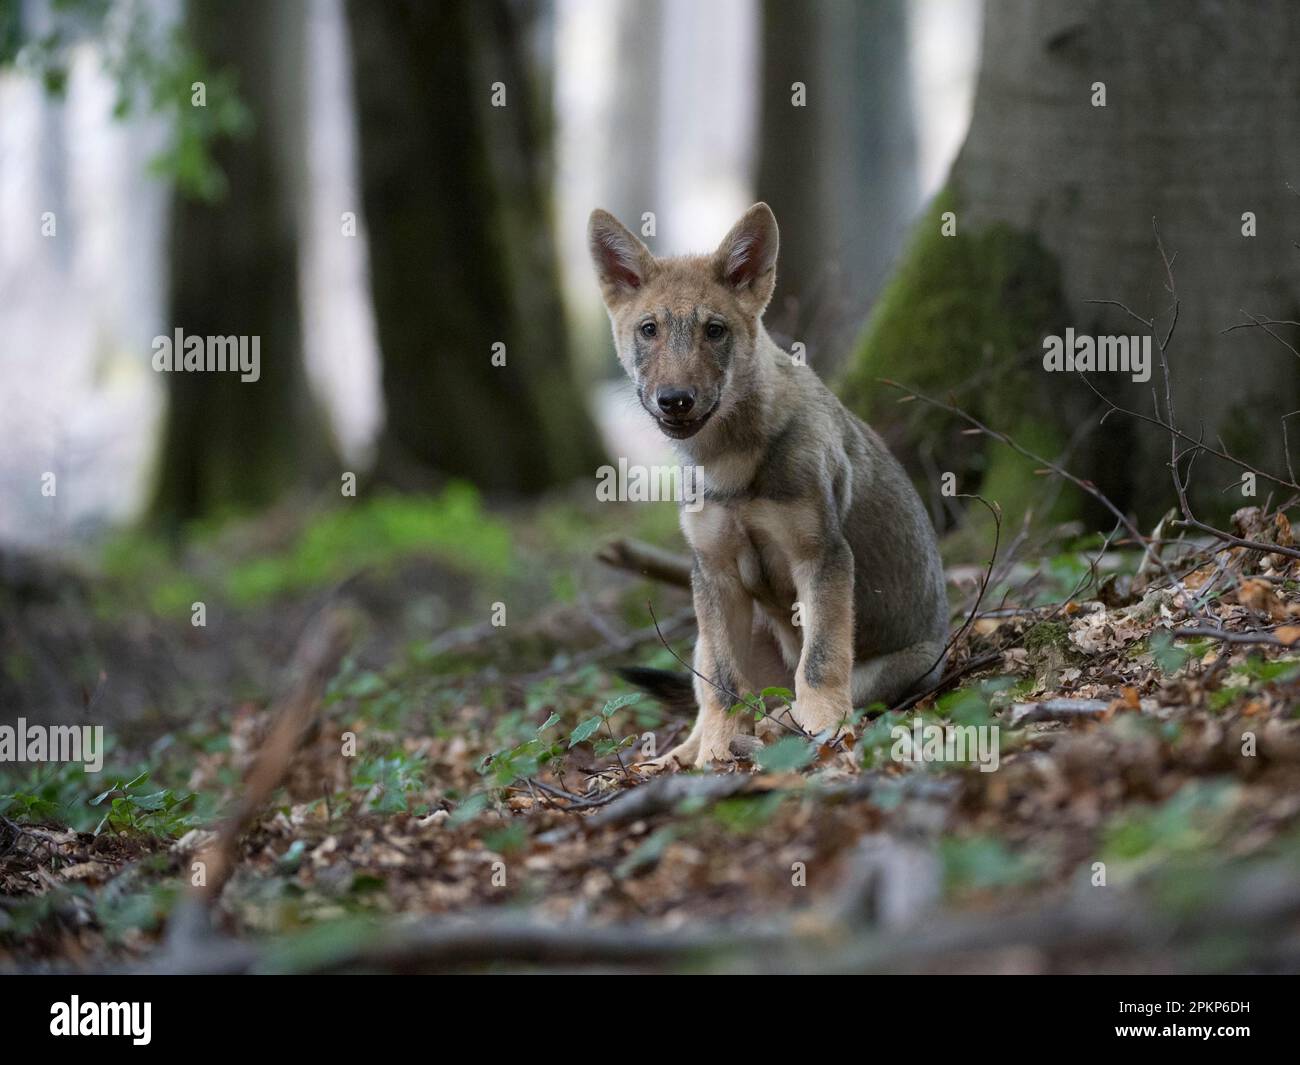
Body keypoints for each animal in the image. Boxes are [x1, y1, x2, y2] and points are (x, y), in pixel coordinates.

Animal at [588, 203, 948, 769]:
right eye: (649, 329)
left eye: (714, 331)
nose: (675, 400)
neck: (728, 464)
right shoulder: (713, 574)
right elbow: (722, 686)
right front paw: (714, 756)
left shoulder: (820, 557)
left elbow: (819, 664)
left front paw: (824, 733)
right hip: (717, 629)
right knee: (718, 697)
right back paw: (679, 756)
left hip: (899, 665)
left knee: (806, 692)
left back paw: (782, 724)